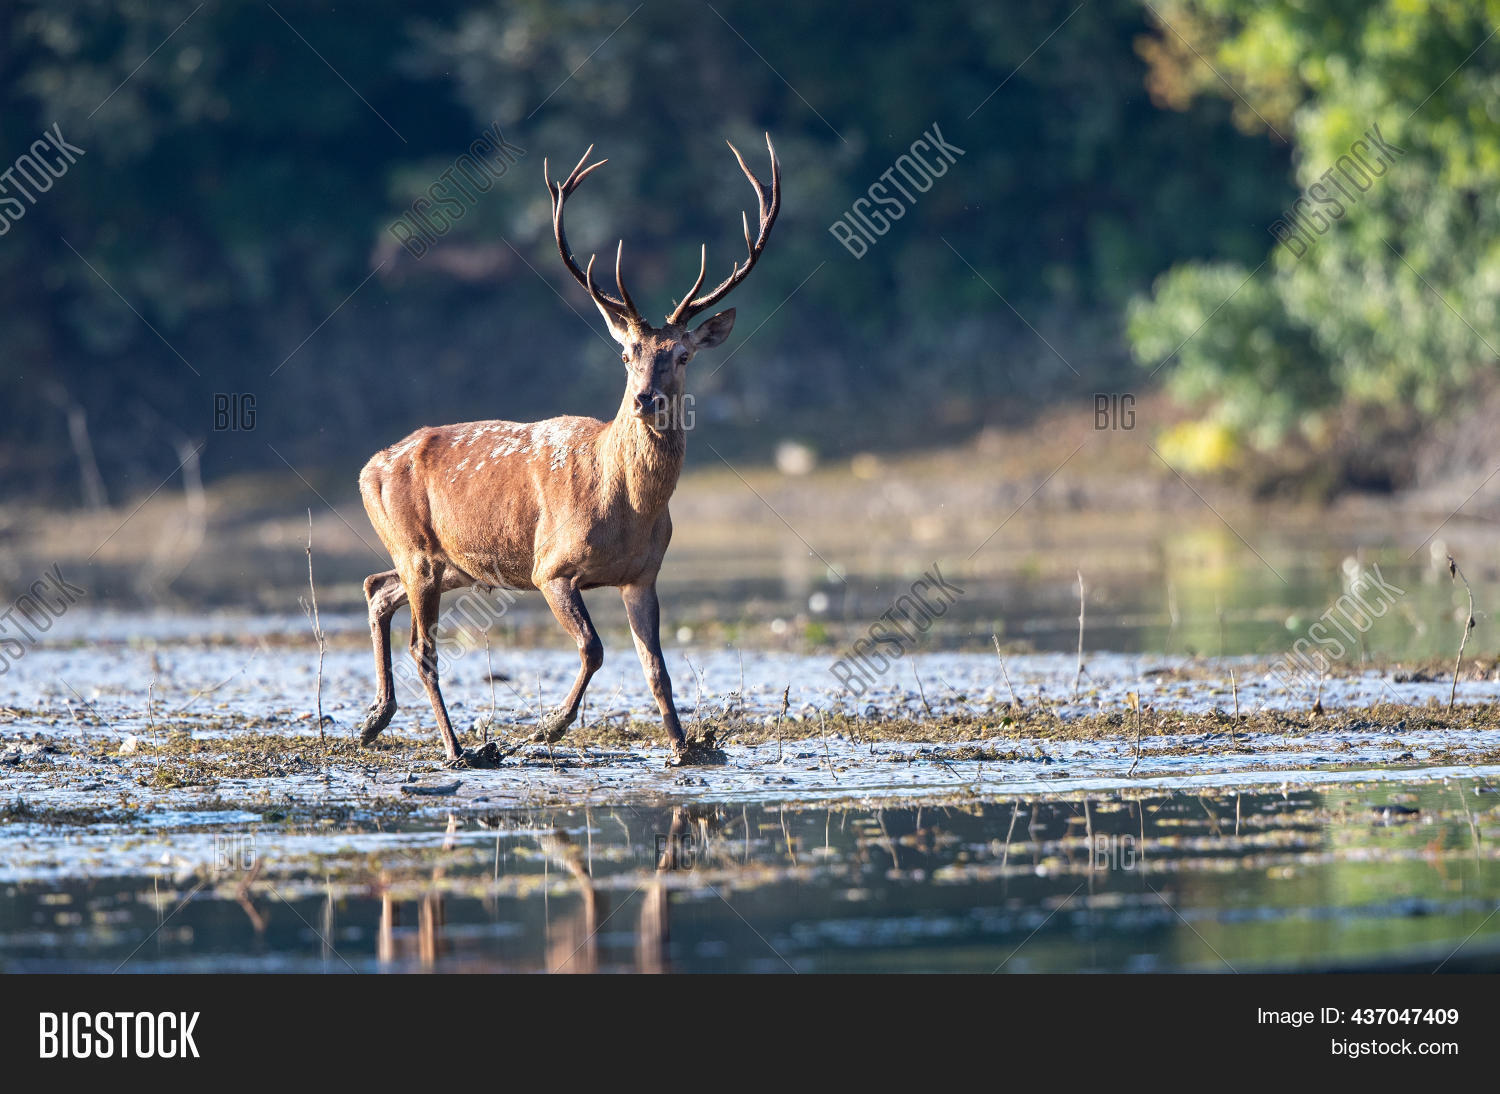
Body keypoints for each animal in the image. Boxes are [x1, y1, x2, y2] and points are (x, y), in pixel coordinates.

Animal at [355, 135, 781, 767]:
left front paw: (685, 746)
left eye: (682, 355)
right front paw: (547, 728)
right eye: (627, 354)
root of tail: (368, 467)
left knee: (377, 589)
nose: (645, 399)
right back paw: (458, 748)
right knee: (421, 646)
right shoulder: (549, 567)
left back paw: (373, 721)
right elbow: (594, 648)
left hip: (449, 563)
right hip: (418, 550)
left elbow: (656, 667)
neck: (627, 506)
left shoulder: (643, 575)